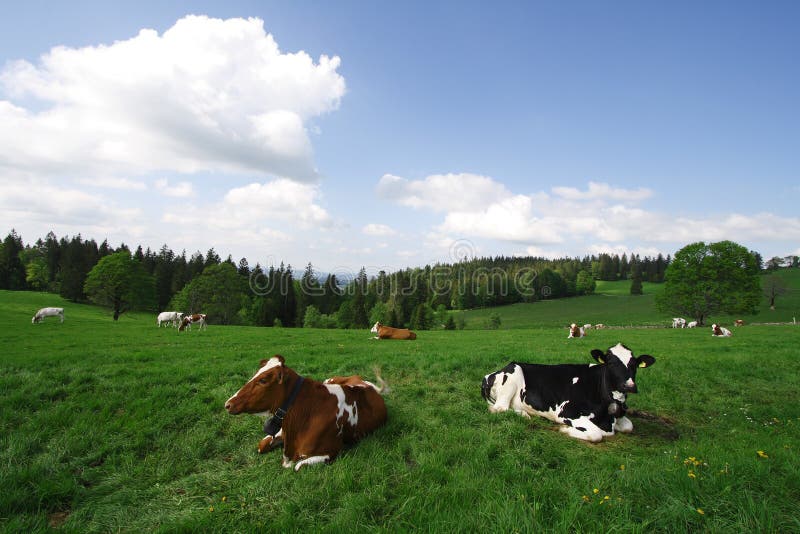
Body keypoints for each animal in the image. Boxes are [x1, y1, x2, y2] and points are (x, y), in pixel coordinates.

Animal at [225, 355, 388, 471]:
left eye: (263, 380)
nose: (228, 404)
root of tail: (367, 385)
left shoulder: (331, 452)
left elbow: (298, 466)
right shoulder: (282, 431)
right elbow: (261, 445)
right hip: (329, 379)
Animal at [481, 343, 655, 442]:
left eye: (634, 364)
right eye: (611, 363)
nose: (629, 386)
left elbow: (628, 426)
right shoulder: (566, 412)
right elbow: (596, 434)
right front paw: (565, 429)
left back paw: (525, 414)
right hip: (512, 376)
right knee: (499, 409)